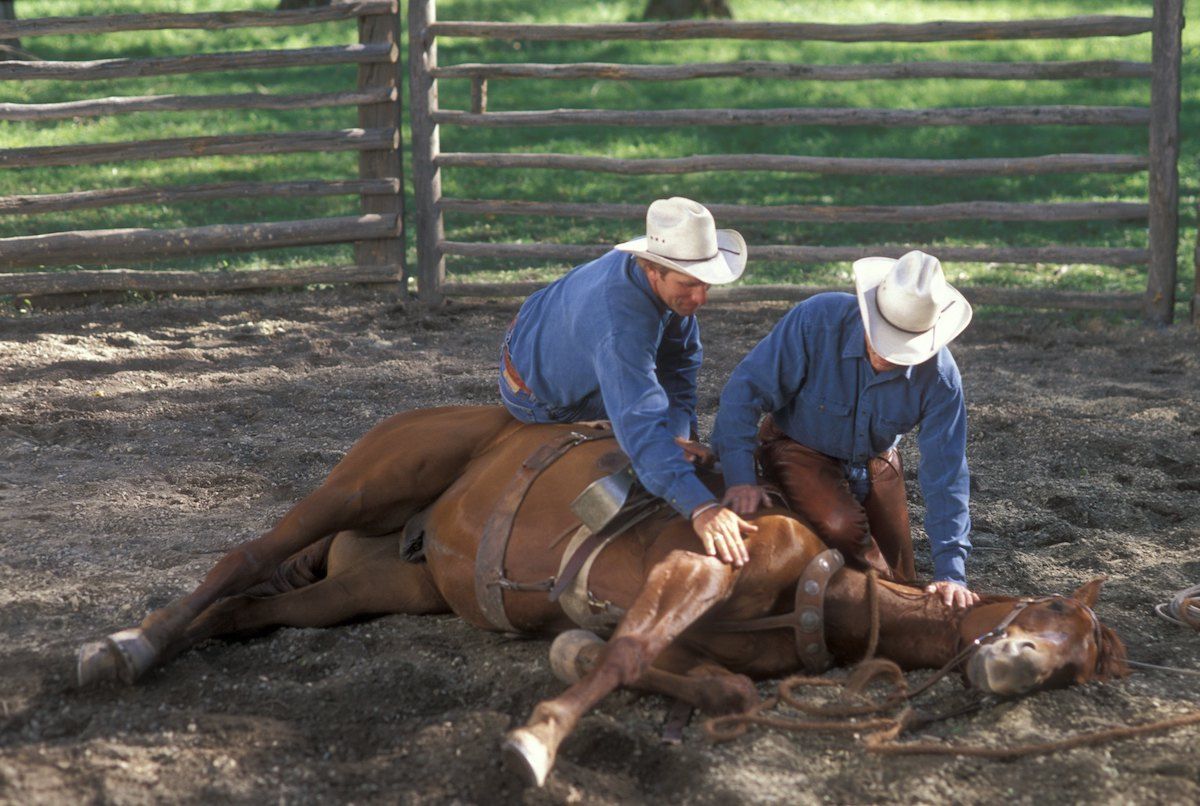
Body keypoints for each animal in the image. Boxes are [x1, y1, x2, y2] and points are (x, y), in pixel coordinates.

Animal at [77, 405, 1128, 787]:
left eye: (1079, 670)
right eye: (1051, 617)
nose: (1012, 670)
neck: (828, 590)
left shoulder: (705, 637)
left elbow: (696, 679)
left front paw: (569, 663)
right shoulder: (698, 566)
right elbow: (621, 653)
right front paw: (536, 741)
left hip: (377, 584)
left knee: (251, 607)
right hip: (368, 482)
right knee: (241, 556)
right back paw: (120, 648)